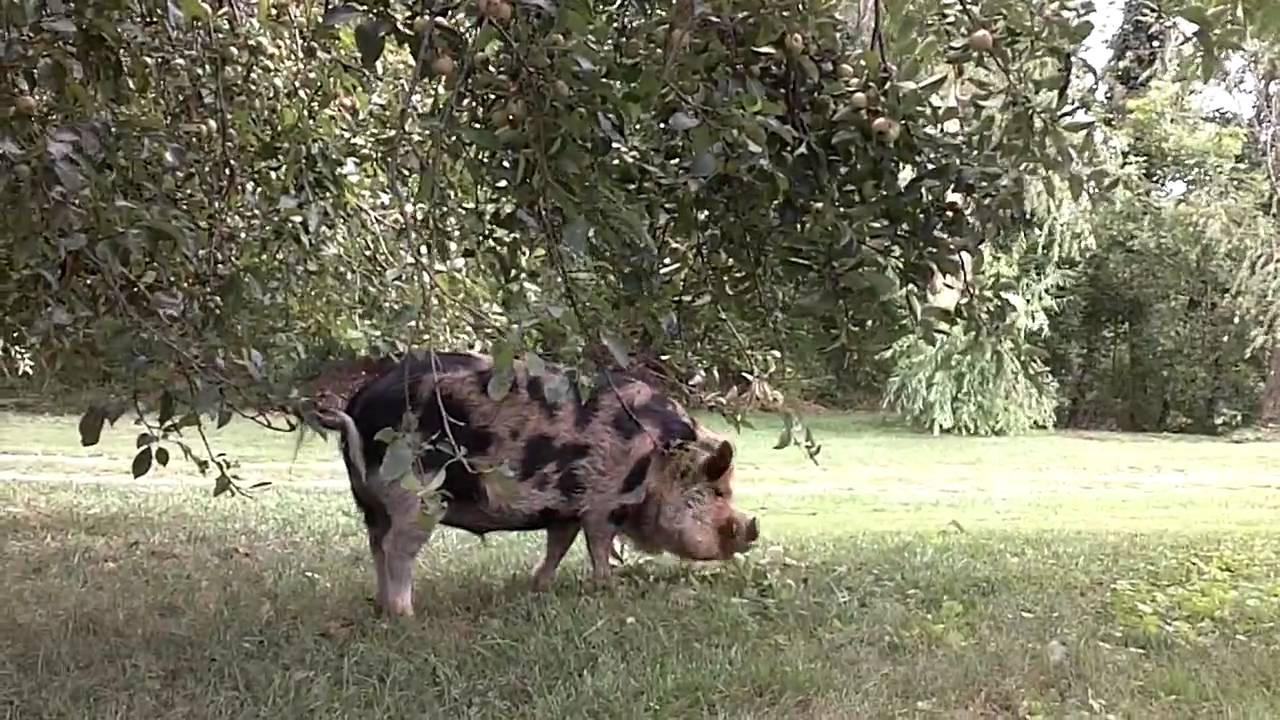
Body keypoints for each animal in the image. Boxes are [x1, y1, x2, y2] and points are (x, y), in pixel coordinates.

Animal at [315, 351, 760, 617]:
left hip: (370, 499)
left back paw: (380, 606)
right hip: (418, 491)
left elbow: (558, 546)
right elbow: (599, 547)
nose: (751, 530)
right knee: (396, 549)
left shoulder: (567, 507)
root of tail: (359, 403)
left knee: (376, 544)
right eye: (718, 490)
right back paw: (405, 614)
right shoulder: (603, 503)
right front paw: (608, 589)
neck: (656, 460)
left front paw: (540, 587)